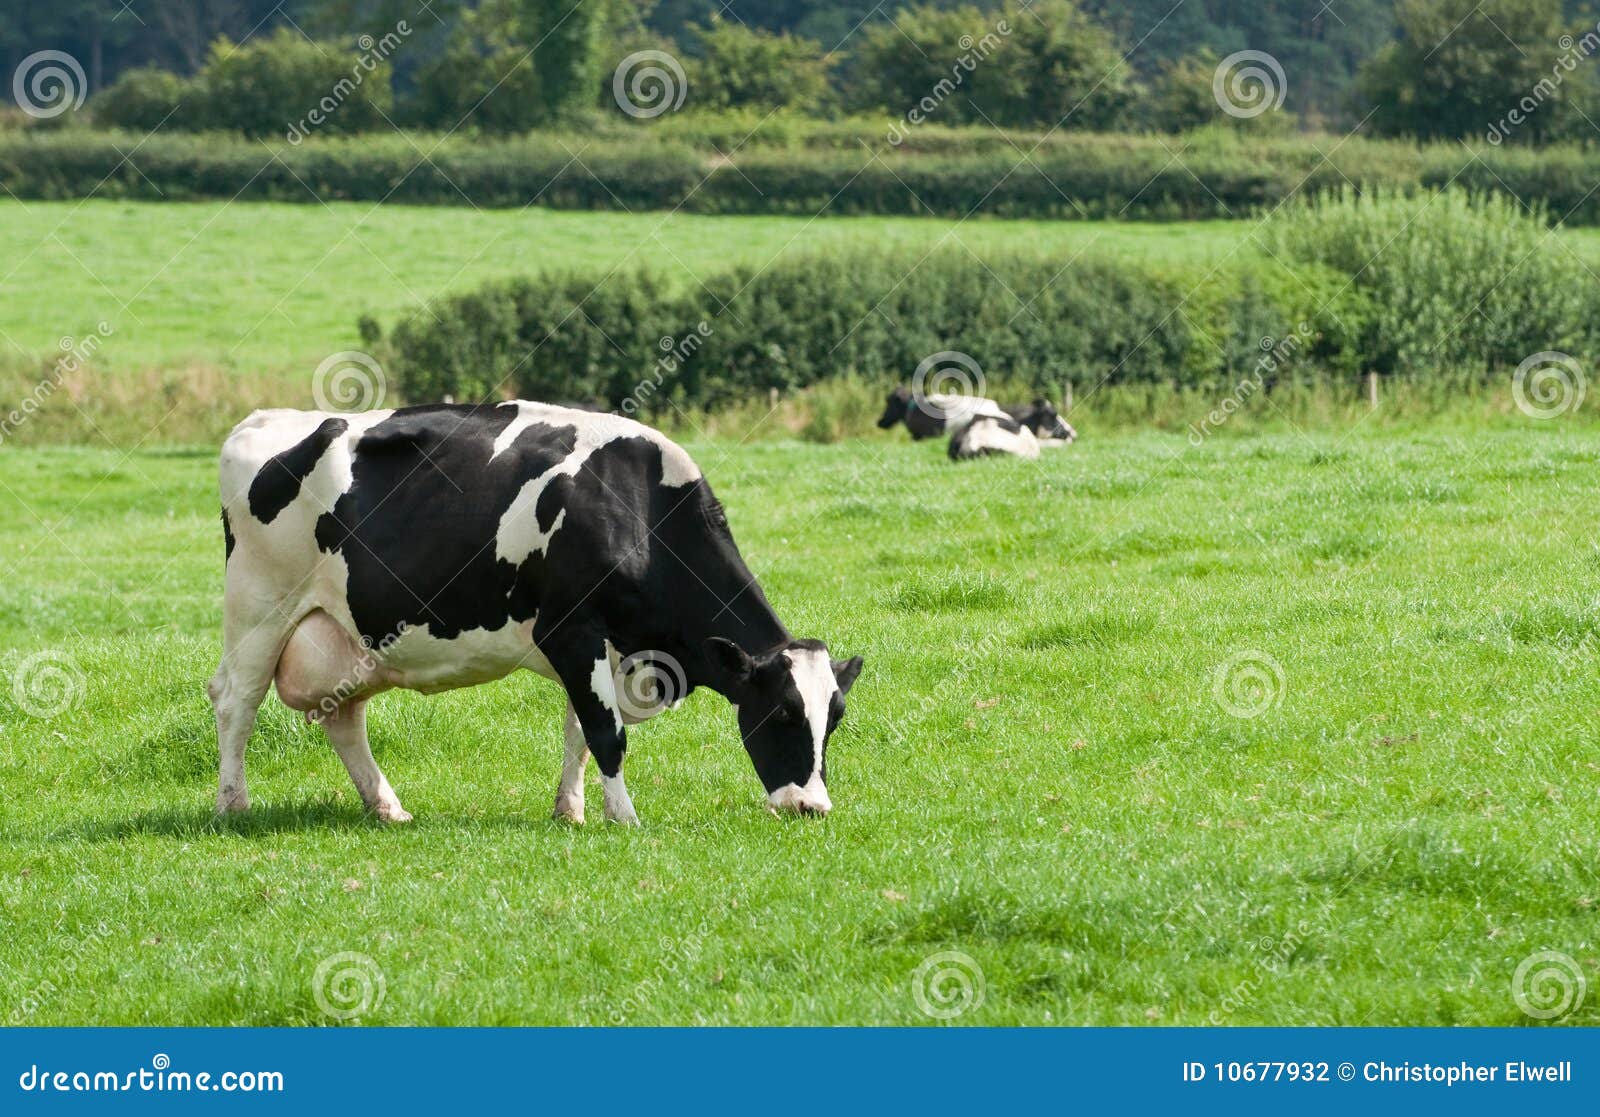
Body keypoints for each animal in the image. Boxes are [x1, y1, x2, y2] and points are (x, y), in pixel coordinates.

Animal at [208, 403, 864, 826]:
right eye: (780, 713)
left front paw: (571, 810)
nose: (812, 807)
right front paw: (624, 817)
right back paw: (232, 803)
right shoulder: (570, 628)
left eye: (833, 720)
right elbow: (606, 733)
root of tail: (261, 419)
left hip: (346, 635)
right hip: (260, 606)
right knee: (236, 700)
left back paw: (387, 807)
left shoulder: (604, 648)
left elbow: (580, 729)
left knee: (342, 718)